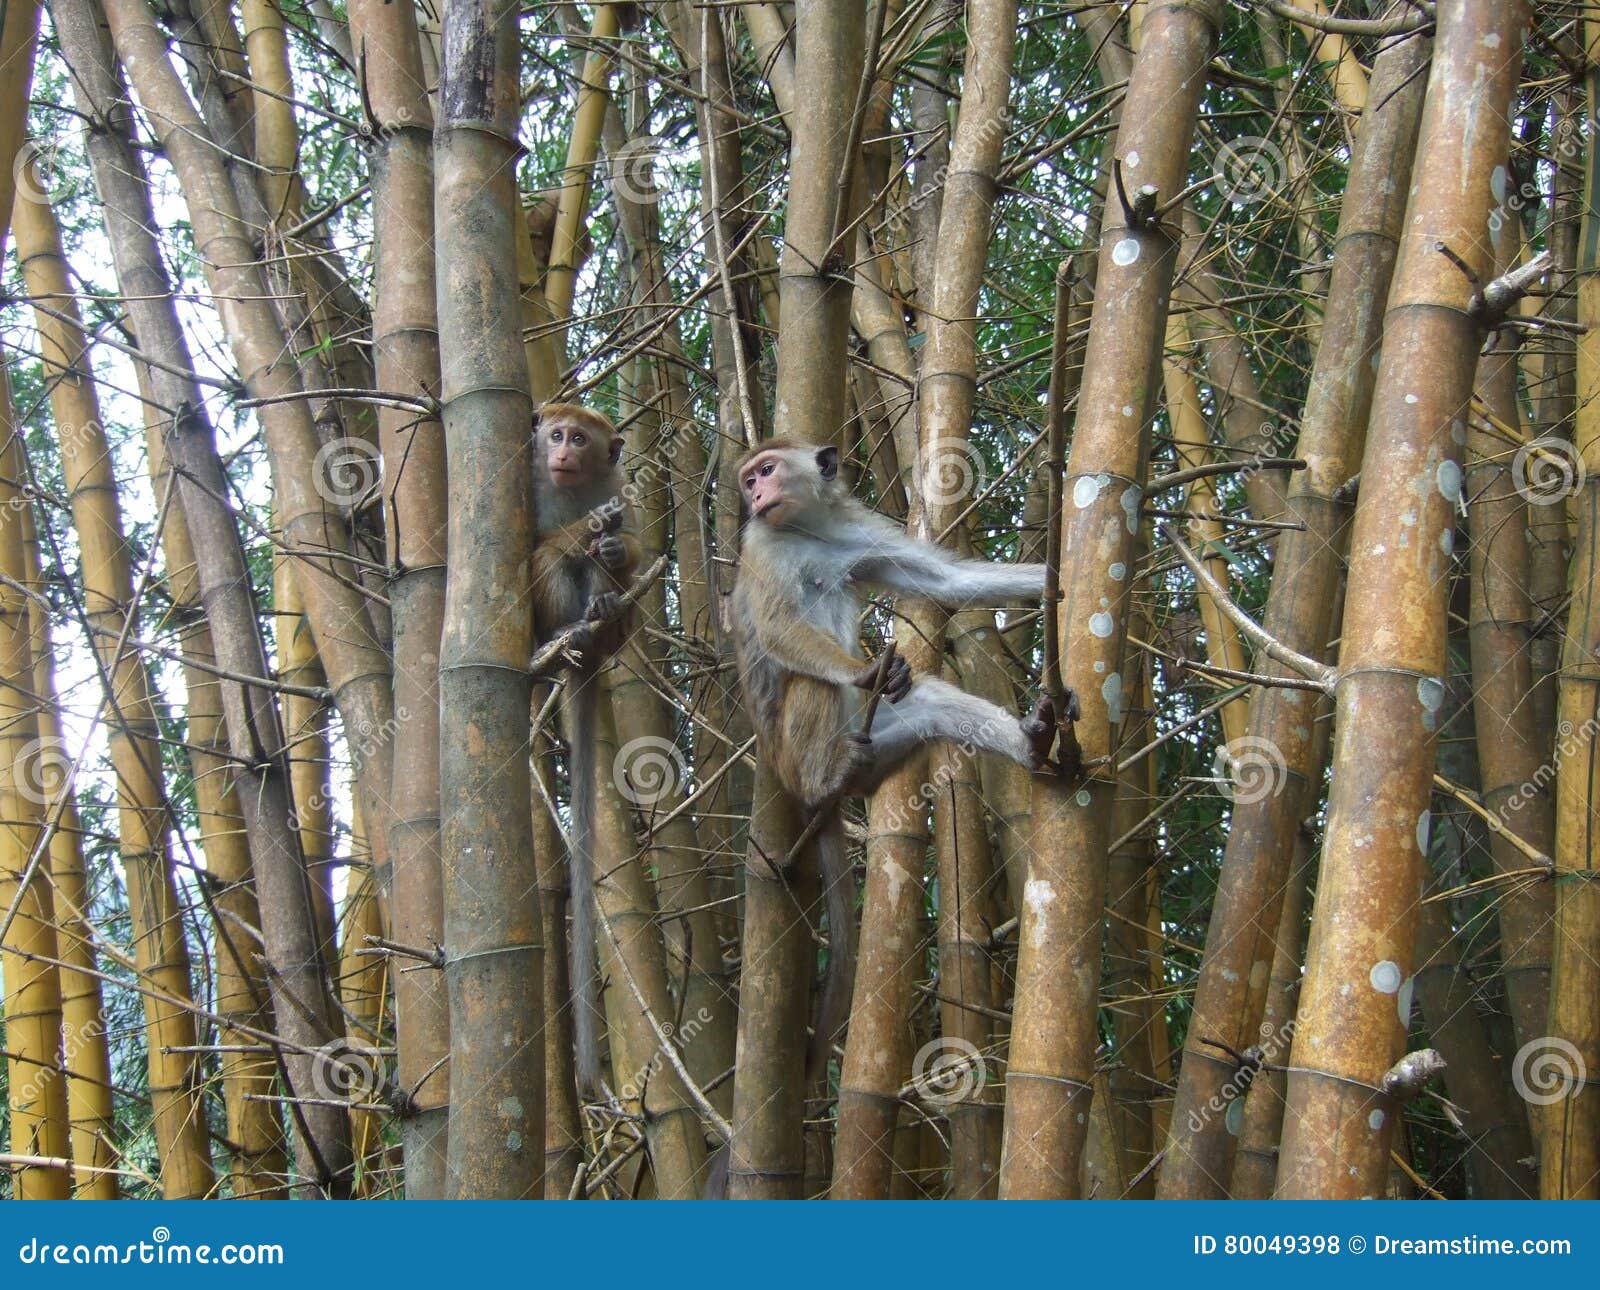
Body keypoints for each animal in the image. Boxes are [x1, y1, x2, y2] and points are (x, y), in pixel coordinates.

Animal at [731, 437, 1066, 1077]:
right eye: (749, 479)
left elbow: (948, 581)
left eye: (766, 470)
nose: (756, 494)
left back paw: (1030, 741)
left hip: (879, 738)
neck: (808, 529)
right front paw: (866, 670)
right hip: (791, 750)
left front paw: (1056, 578)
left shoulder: (857, 532)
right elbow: (781, 630)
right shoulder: (758, 544)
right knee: (811, 682)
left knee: (931, 701)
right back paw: (825, 778)